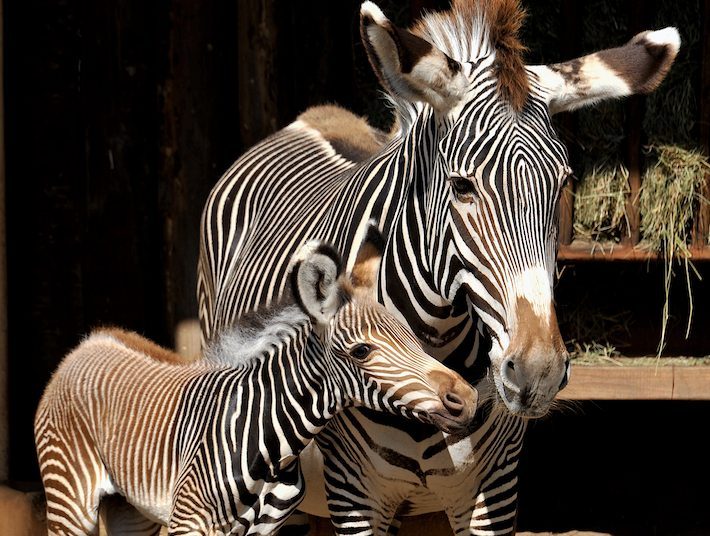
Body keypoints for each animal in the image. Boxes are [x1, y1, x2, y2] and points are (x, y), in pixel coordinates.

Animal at [34, 233, 478, 536]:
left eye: (410, 336)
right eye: (362, 351)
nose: (467, 398)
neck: (271, 441)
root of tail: (91, 340)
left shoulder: (268, 528)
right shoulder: (189, 521)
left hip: (131, 509)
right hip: (70, 498)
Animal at [196, 0, 680, 533]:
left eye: (562, 183)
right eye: (462, 186)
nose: (539, 373)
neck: (435, 343)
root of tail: (316, 117)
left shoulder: (495, 490)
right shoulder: (352, 494)